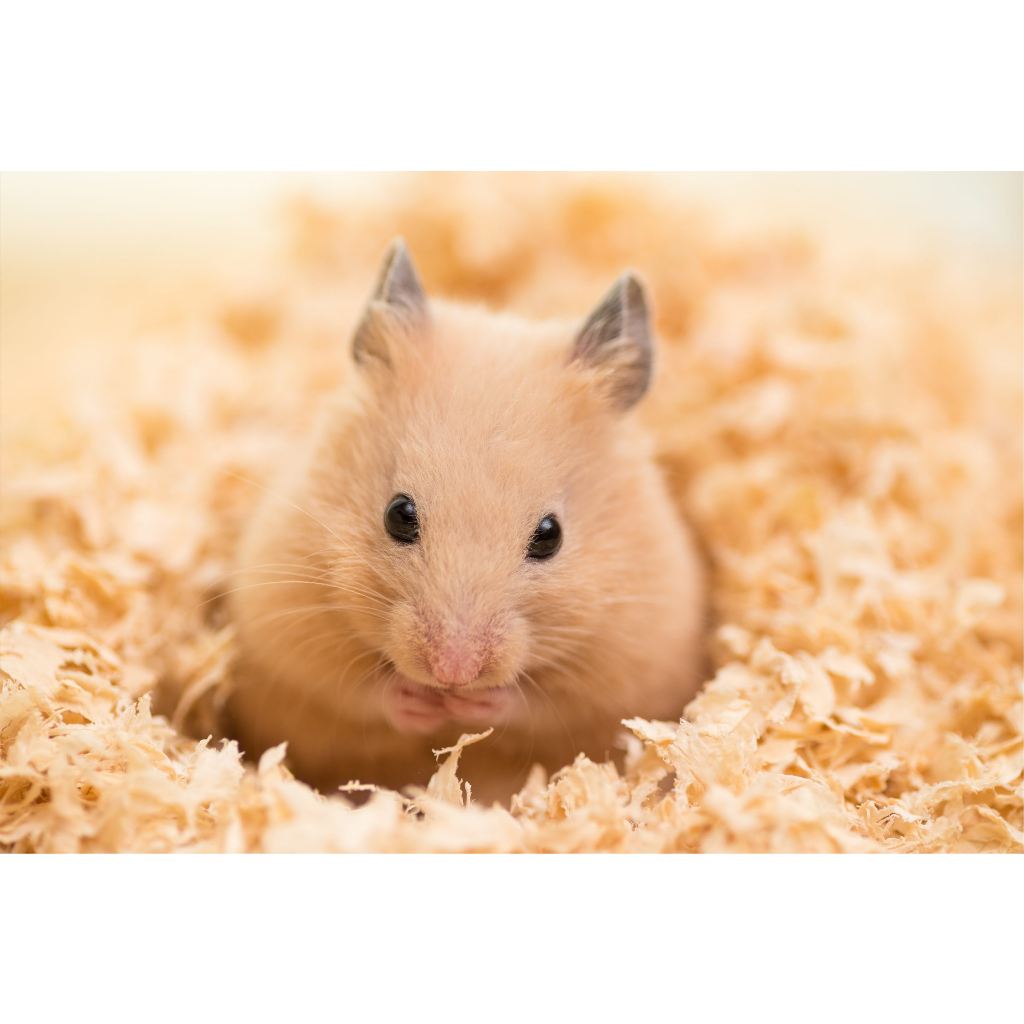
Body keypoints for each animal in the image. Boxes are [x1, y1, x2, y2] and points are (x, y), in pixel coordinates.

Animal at [223, 239, 706, 803]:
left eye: (550, 536)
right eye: (398, 514)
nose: (452, 673)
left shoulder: (631, 661)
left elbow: (544, 707)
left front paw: (472, 705)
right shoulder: (286, 622)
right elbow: (354, 688)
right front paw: (422, 702)